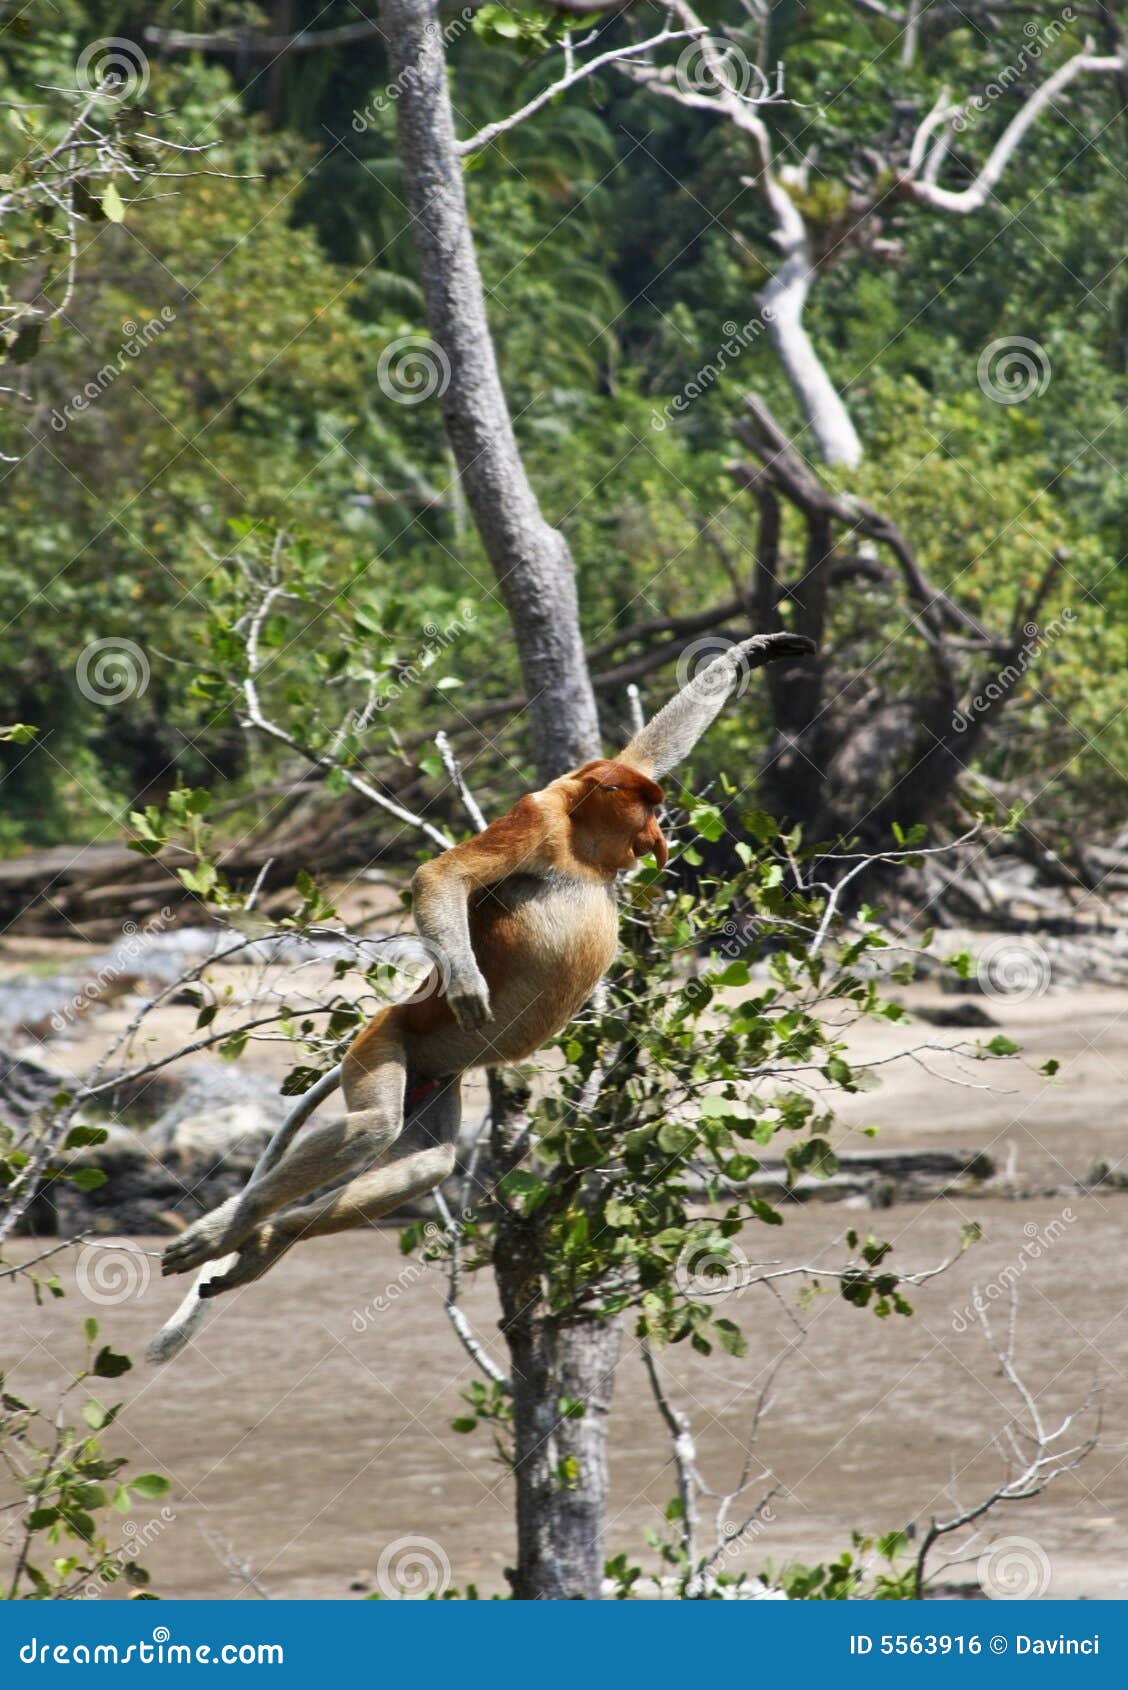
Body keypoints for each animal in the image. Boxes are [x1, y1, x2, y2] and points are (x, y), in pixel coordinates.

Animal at [157, 632, 814, 1310]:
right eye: (647, 815)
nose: (657, 840)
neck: (582, 848)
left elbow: (649, 751)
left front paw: (756, 651)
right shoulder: (538, 819)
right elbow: (439, 875)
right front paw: (470, 987)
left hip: (435, 1076)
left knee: (425, 1164)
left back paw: (267, 1241)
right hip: (386, 1035)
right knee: (372, 1126)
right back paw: (226, 1231)